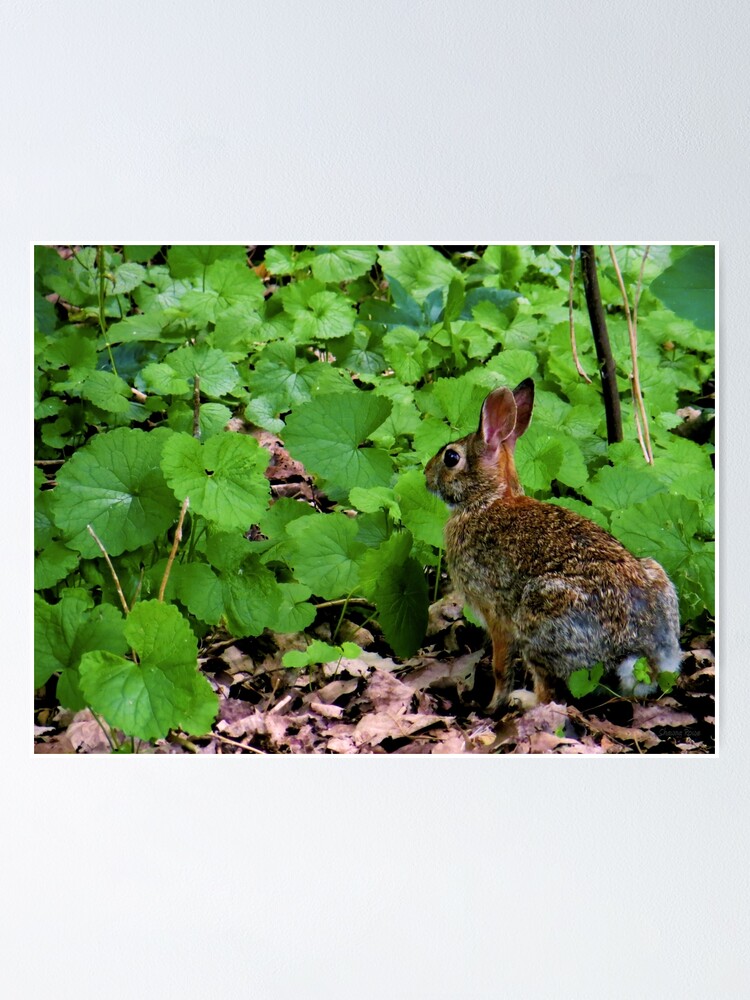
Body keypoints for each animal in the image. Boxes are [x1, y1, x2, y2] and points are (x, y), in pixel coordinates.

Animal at [424, 378, 681, 712]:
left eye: (451, 457)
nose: (426, 475)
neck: (486, 500)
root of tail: (642, 651)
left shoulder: (496, 615)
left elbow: (500, 665)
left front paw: (493, 704)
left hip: (539, 614)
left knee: (550, 695)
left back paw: (522, 700)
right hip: (655, 571)